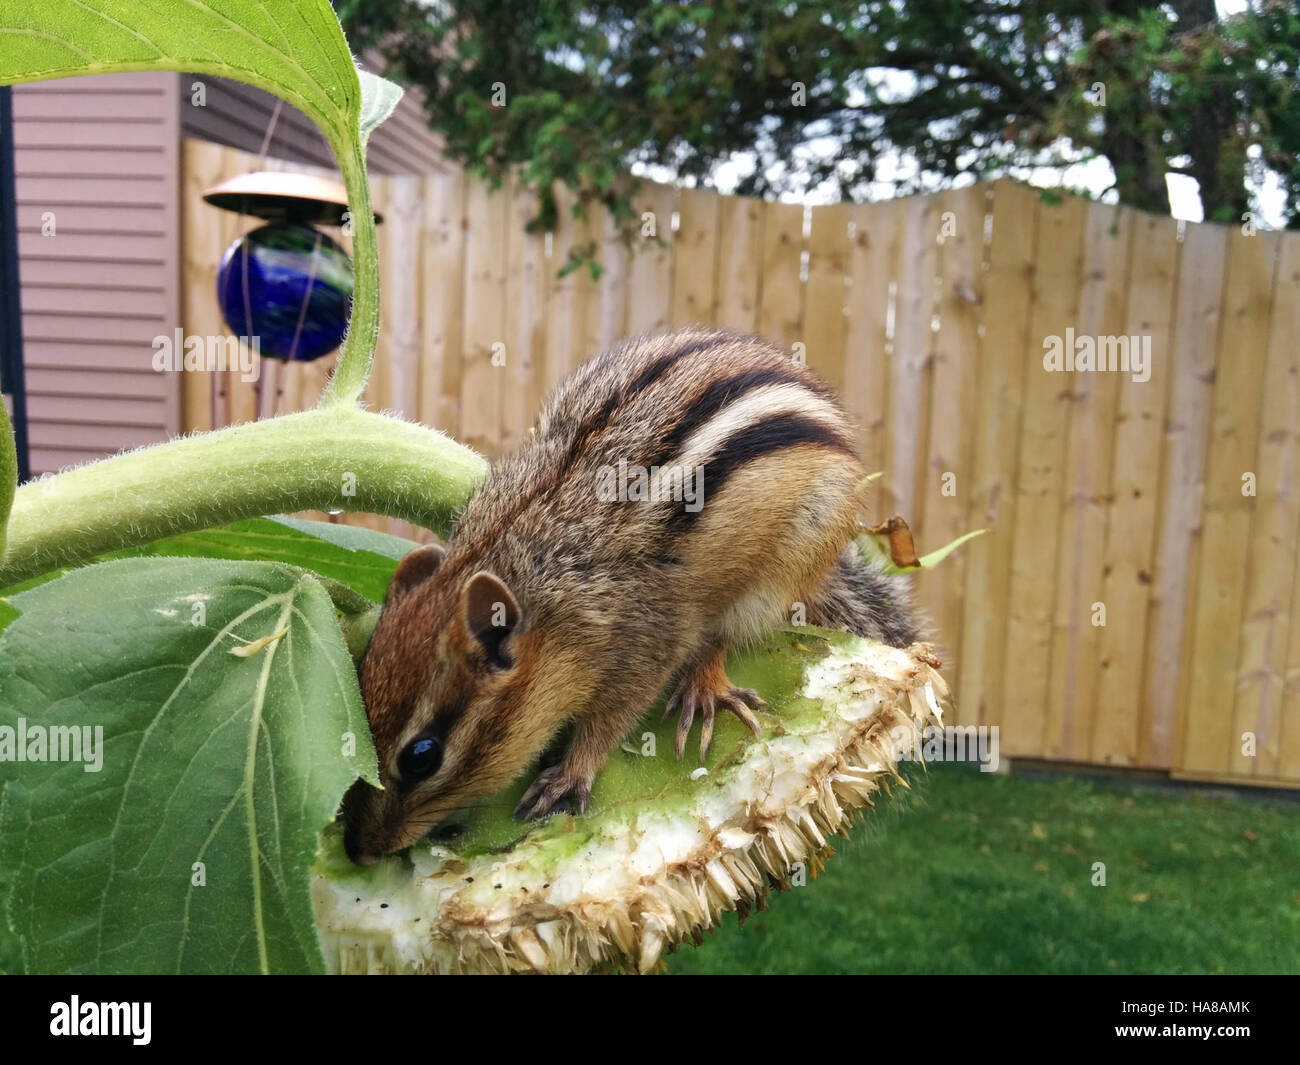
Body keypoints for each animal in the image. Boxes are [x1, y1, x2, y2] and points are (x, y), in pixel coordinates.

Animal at [341, 327, 919, 865]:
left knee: (725, 634)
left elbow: (615, 716)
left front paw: (571, 774)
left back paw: (705, 687)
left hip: (784, 564)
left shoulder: (645, 640)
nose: (357, 849)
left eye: (422, 756)